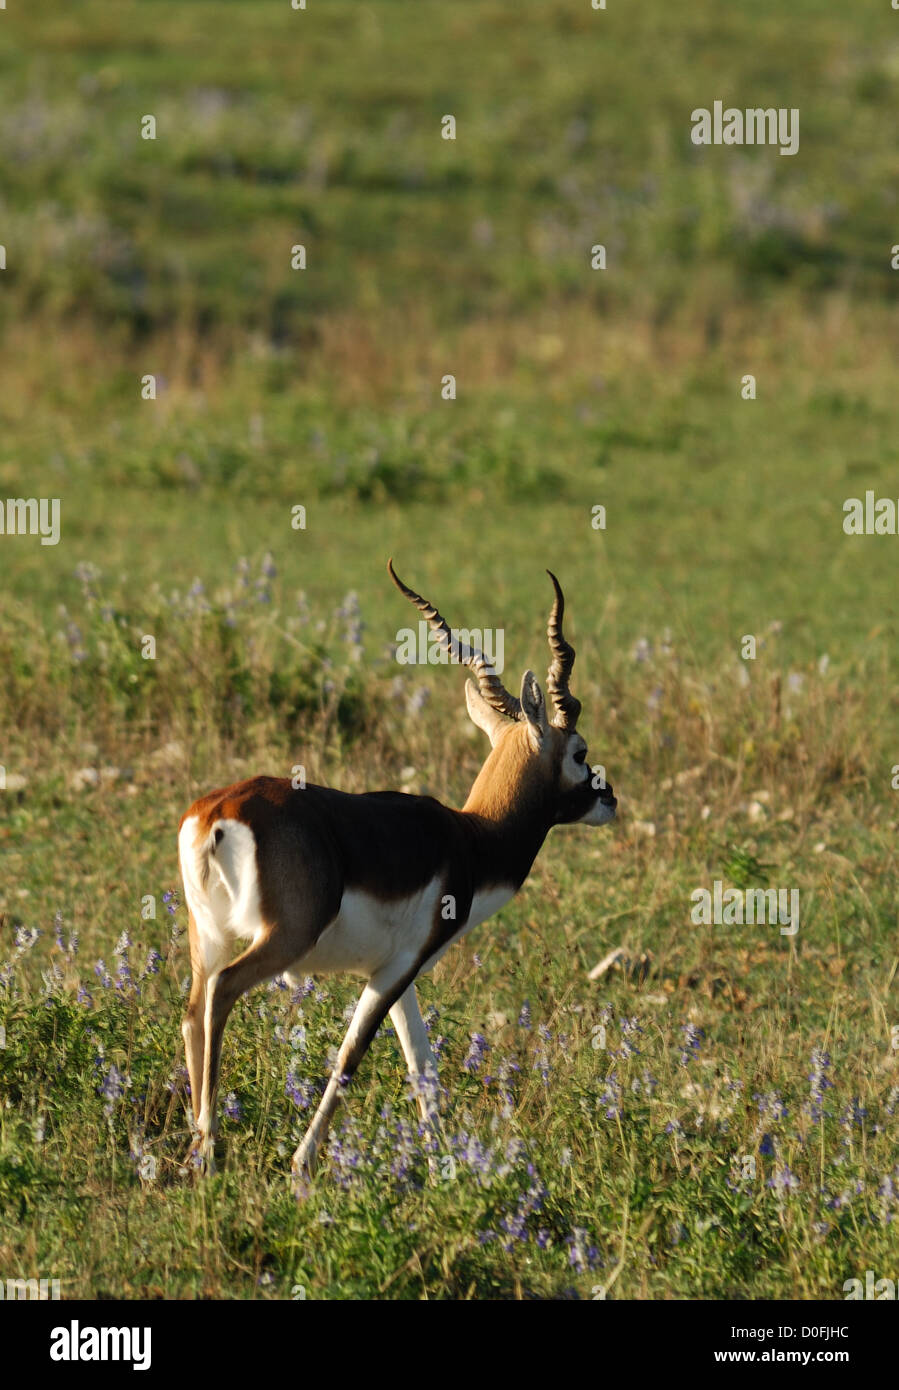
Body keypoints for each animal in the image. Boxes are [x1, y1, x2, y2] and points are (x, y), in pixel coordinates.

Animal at [177, 560, 617, 1186]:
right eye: (579, 751)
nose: (611, 799)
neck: (472, 838)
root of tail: (218, 813)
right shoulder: (394, 969)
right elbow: (349, 1057)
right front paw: (303, 1164)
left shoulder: (398, 971)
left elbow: (422, 1067)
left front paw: (447, 1169)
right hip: (283, 940)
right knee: (221, 992)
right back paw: (212, 1150)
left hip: (207, 935)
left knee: (193, 1012)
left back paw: (197, 1150)